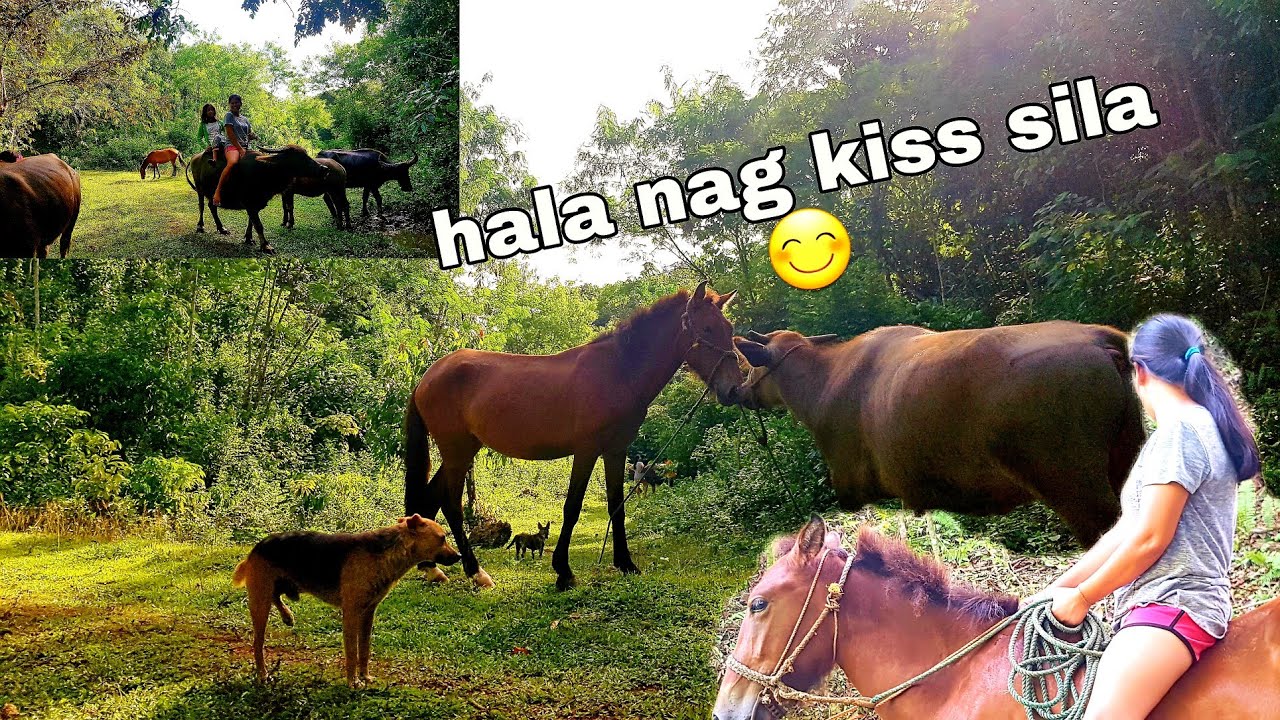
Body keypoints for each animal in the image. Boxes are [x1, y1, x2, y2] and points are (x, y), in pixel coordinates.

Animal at [404, 282, 743, 590]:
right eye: (708, 328)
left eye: (729, 328)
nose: (734, 389)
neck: (618, 371)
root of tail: (427, 376)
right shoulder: (586, 450)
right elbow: (572, 507)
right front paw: (563, 572)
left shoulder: (616, 450)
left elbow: (616, 505)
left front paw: (625, 563)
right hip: (457, 450)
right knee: (450, 504)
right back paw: (476, 573)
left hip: (462, 450)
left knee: (432, 497)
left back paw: (432, 568)